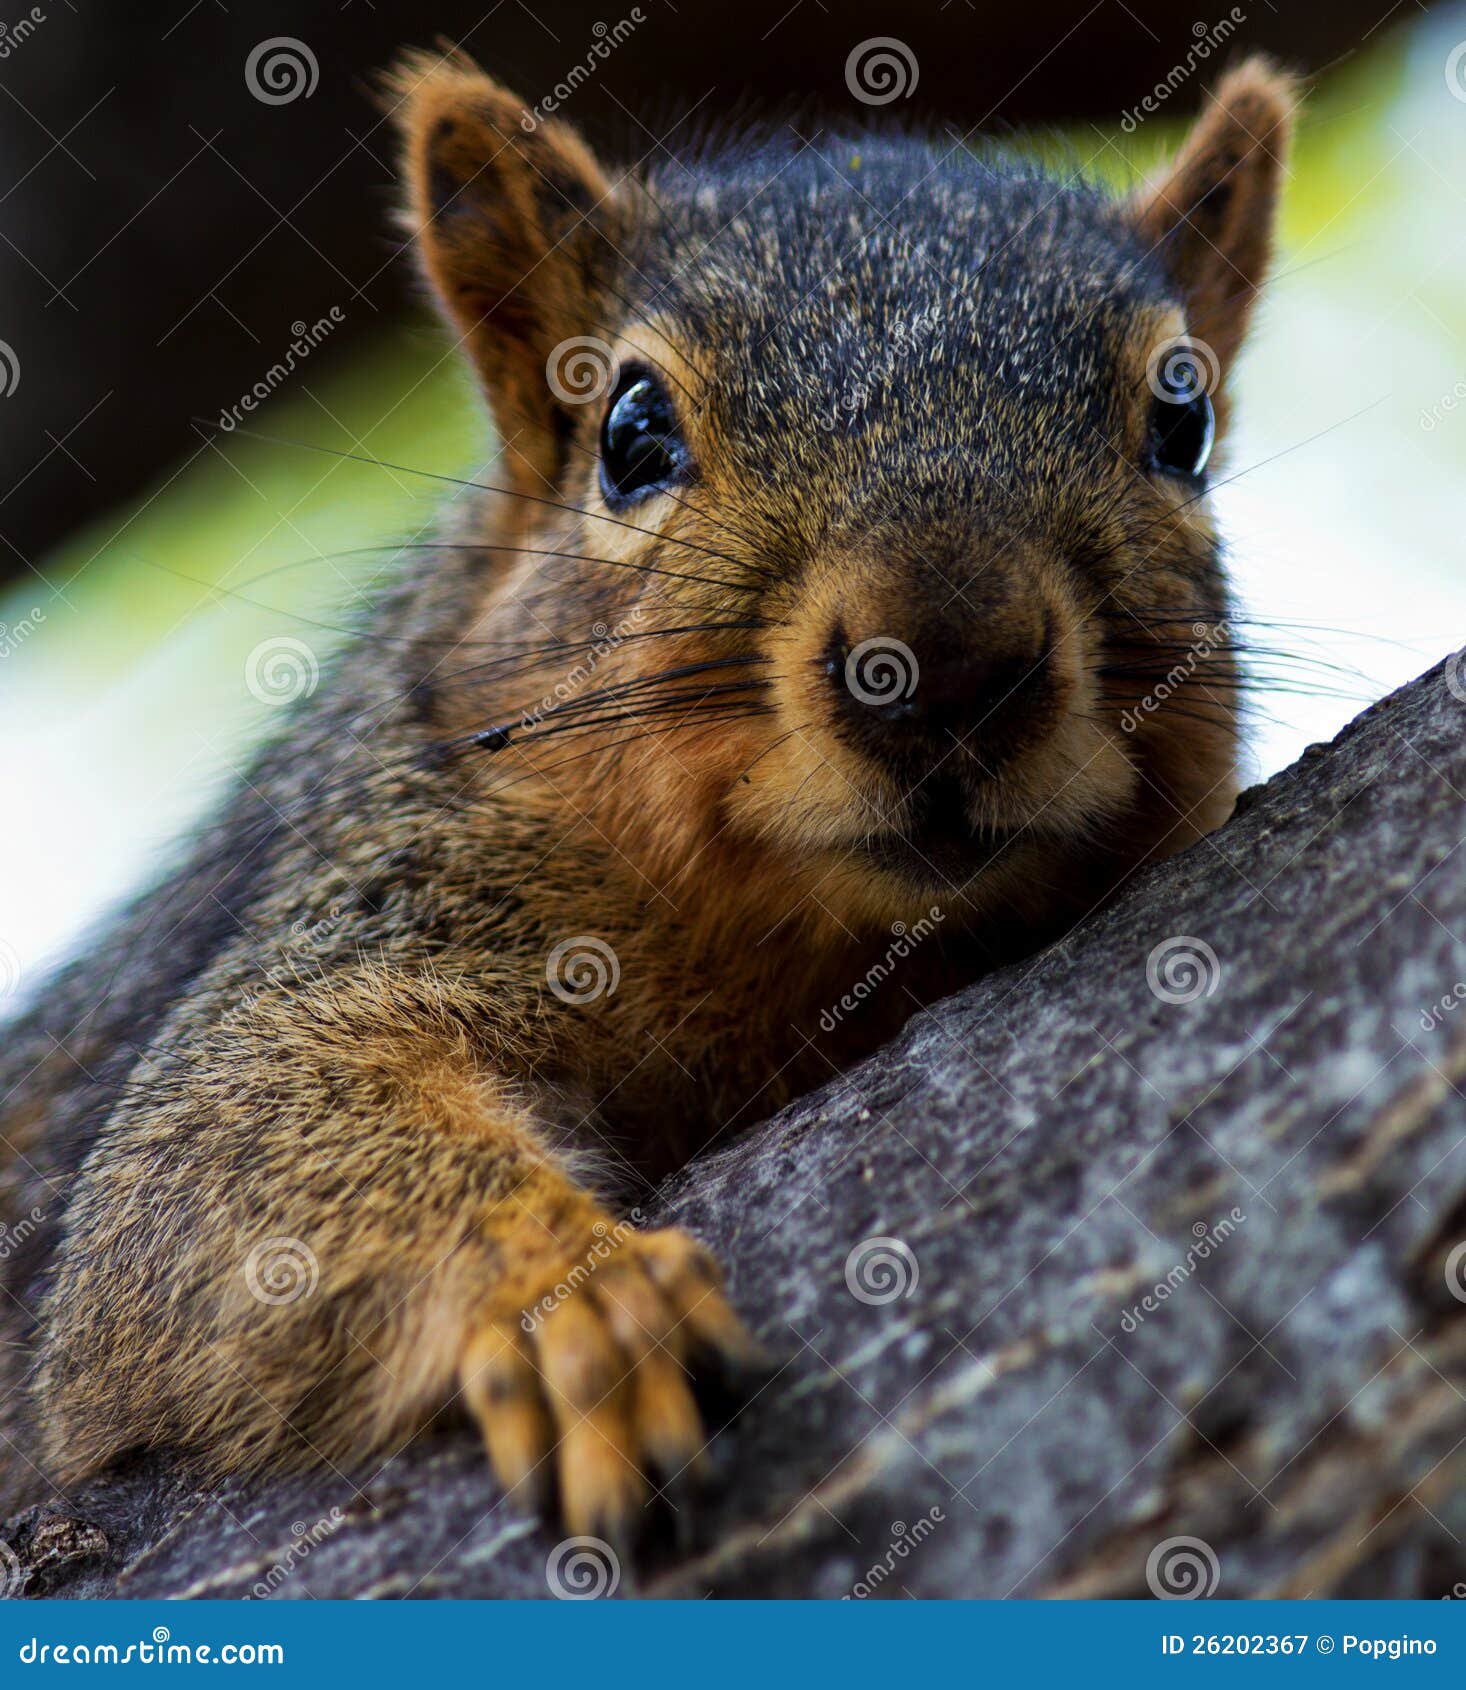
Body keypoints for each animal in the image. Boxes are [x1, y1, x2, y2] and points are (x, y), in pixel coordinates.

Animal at [0, 50, 1293, 1541]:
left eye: (1182, 419)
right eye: (628, 432)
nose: (947, 663)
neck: (820, 943)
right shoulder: (370, 892)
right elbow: (204, 1162)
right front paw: (581, 1300)